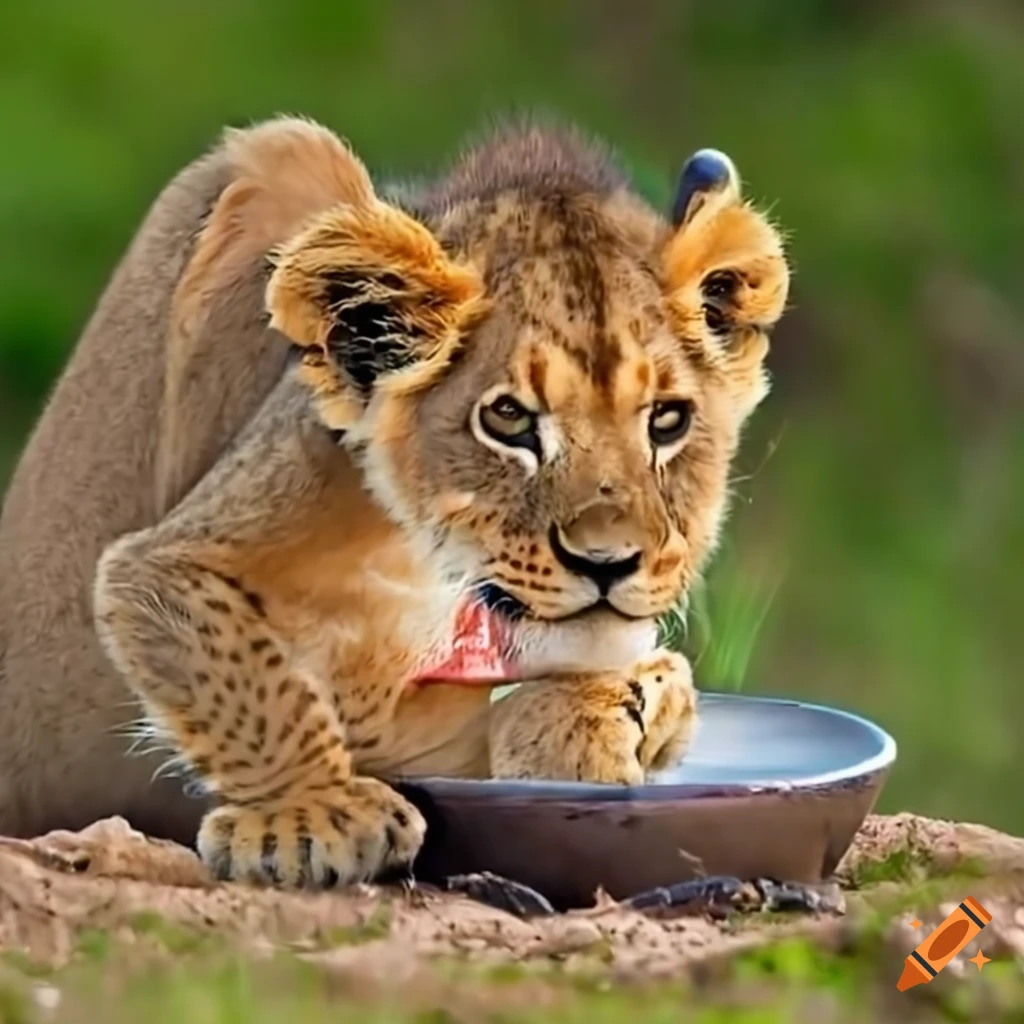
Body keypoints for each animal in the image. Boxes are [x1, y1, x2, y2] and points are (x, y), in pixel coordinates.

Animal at [0, 114, 789, 891]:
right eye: (508, 420)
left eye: (667, 421)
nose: (607, 563)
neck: (430, 567)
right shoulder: (183, 550)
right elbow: (244, 670)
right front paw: (311, 815)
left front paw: (619, 706)